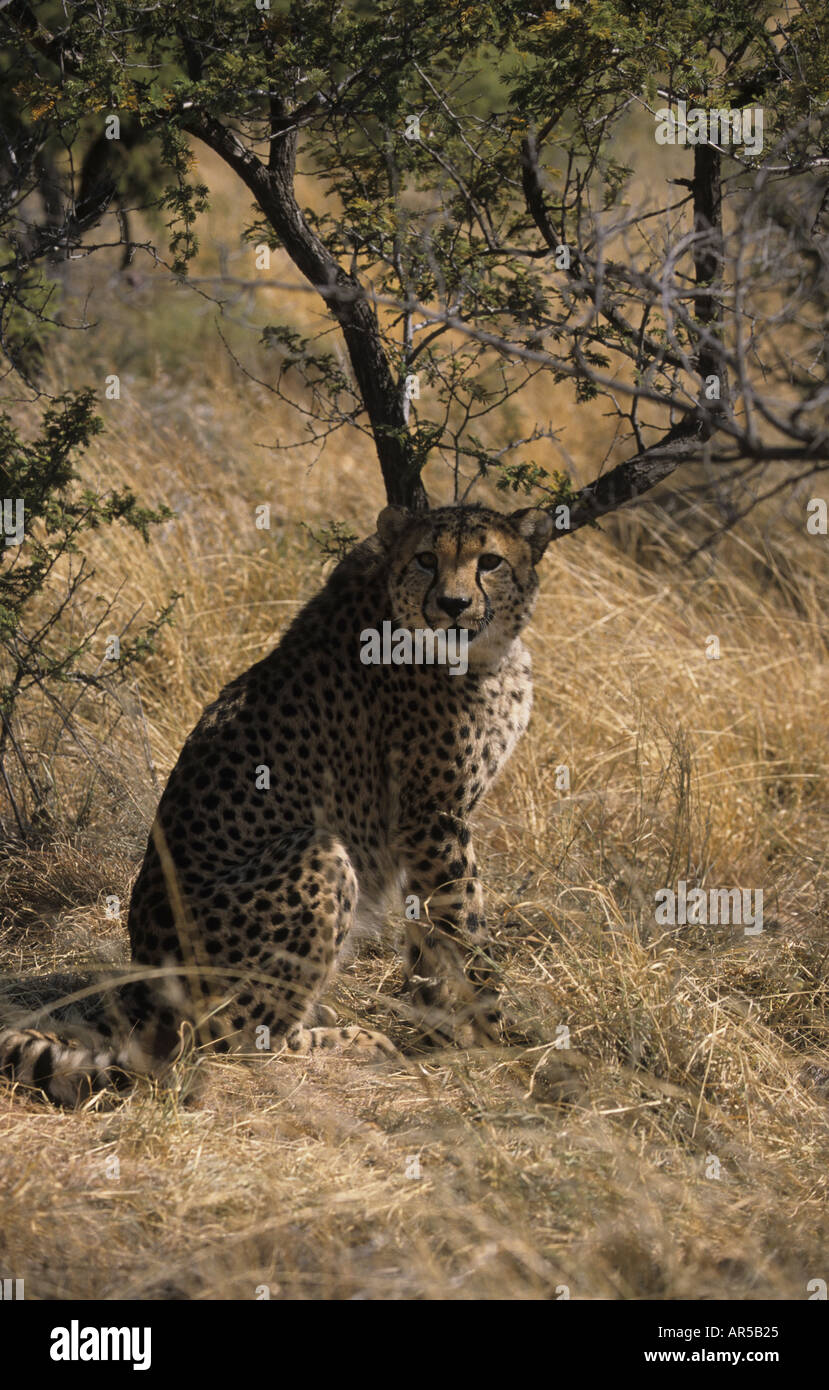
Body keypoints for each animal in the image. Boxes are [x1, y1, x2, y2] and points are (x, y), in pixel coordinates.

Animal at [0, 502, 553, 1105]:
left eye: (490, 561)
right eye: (427, 559)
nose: (453, 604)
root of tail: (143, 983)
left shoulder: (423, 829)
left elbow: (429, 937)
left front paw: (439, 1031)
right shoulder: (433, 818)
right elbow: (468, 931)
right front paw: (505, 1039)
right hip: (320, 852)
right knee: (238, 1039)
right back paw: (348, 1040)